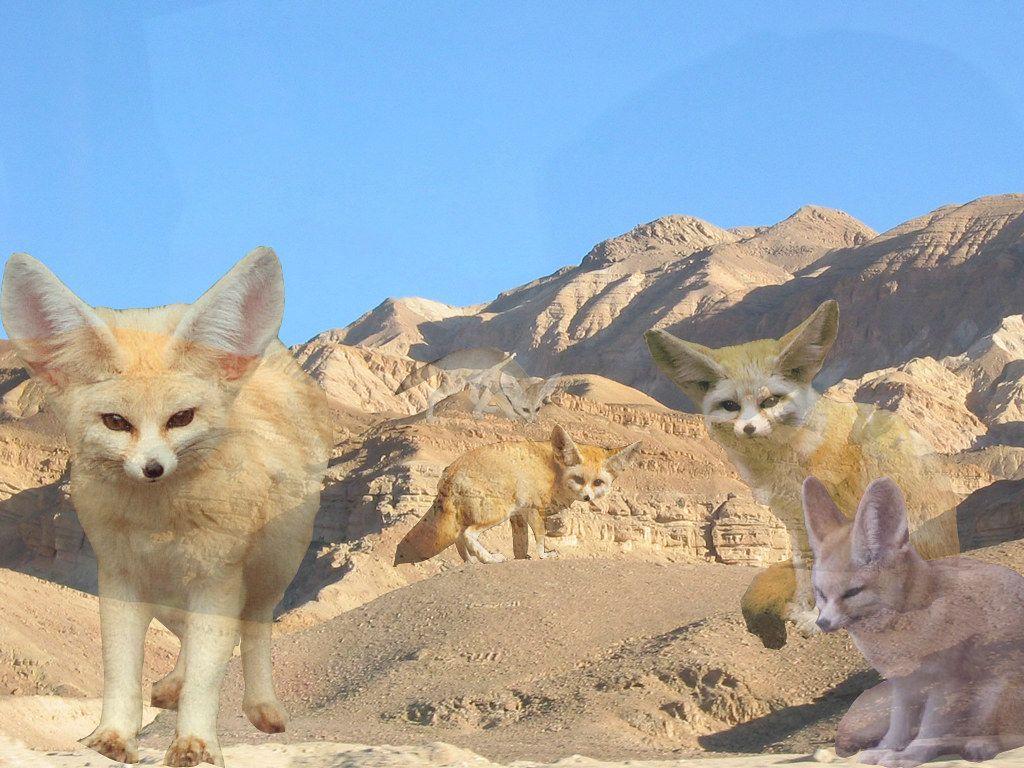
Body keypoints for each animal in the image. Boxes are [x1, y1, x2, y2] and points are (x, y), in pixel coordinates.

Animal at [0, 250, 332, 767]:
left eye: (181, 419)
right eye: (116, 422)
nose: (153, 468)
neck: (158, 523)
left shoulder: (217, 579)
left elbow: (208, 673)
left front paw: (196, 743)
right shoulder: (120, 578)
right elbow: (121, 670)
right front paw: (112, 737)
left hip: (272, 569)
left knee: (252, 628)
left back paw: (261, 706)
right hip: (169, 591)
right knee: (190, 634)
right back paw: (171, 685)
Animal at [393, 425, 639, 565]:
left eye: (598, 483)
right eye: (579, 479)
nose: (587, 498)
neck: (555, 471)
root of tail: (448, 475)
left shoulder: (519, 515)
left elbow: (520, 544)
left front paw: (521, 558)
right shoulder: (533, 510)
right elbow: (540, 539)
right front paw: (543, 556)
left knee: (459, 538)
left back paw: (471, 563)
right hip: (497, 512)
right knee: (468, 535)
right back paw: (489, 559)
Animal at [645, 300, 960, 649]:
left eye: (770, 401)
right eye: (730, 406)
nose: (749, 428)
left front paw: (816, 619)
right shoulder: (795, 521)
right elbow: (804, 569)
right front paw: (805, 608)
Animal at [804, 476, 1024, 767]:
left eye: (852, 592)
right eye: (820, 592)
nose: (823, 623)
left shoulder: (946, 686)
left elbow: (929, 731)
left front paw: (910, 756)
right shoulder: (904, 686)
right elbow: (898, 727)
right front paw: (885, 750)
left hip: (993, 693)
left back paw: (979, 746)